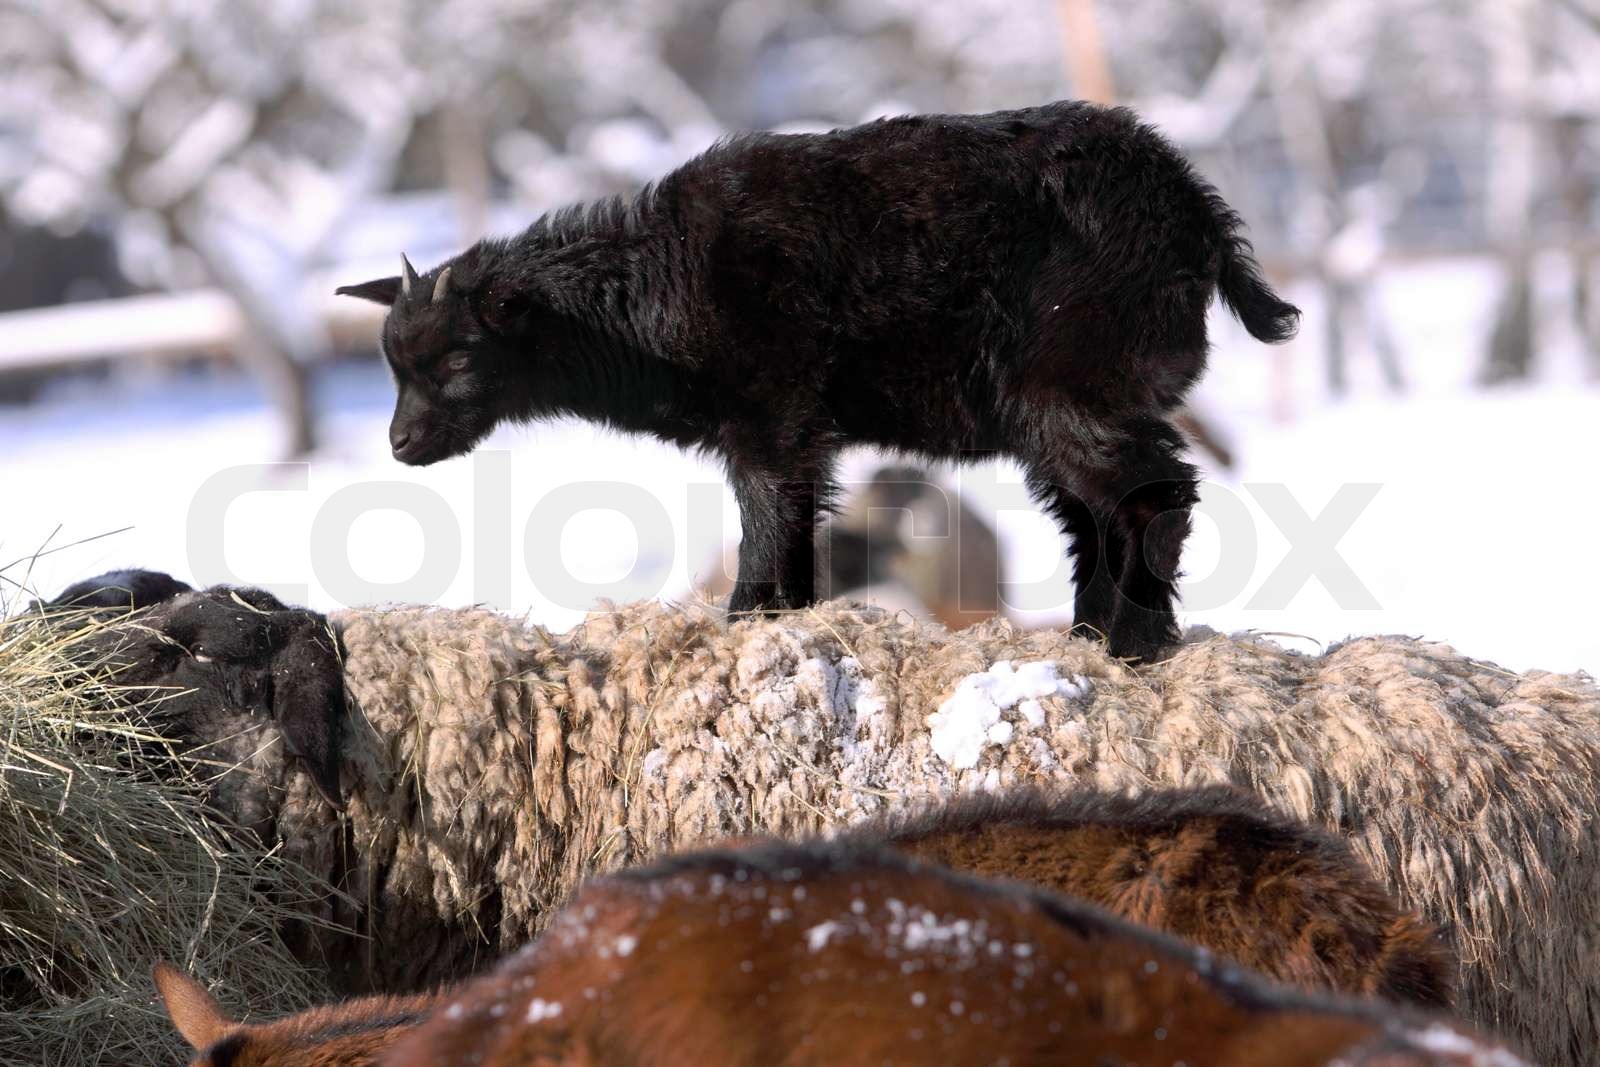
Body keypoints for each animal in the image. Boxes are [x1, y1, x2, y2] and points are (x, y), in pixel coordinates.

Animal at [335, 101, 1299, 662]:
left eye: (457, 359)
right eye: (392, 365)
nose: (401, 443)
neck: (652, 293)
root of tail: (1200, 213)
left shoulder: (774, 417)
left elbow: (768, 530)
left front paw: (742, 623)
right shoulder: (786, 436)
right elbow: (794, 536)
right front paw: (783, 624)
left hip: (1072, 383)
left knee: (1154, 489)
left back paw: (1137, 639)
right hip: (1059, 410)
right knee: (1095, 511)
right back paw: (1095, 633)